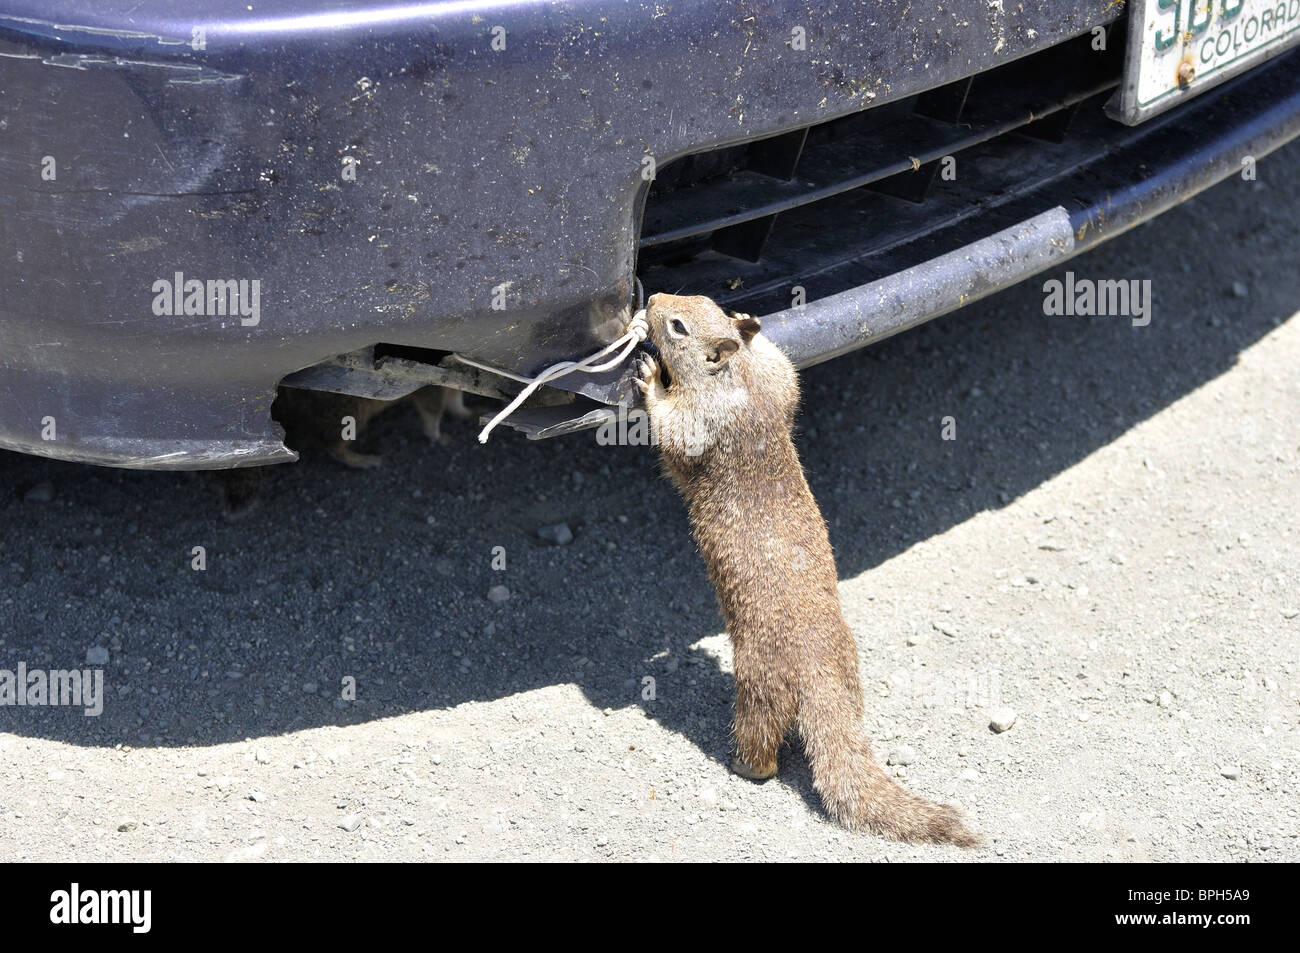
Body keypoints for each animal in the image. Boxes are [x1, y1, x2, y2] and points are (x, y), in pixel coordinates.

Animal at [635, 292, 977, 846]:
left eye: (678, 325)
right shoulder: (775, 384)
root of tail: (822, 681)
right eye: (700, 299)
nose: (652, 298)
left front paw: (649, 379)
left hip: (756, 683)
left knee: (762, 746)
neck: (741, 381)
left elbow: (672, 428)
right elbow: (789, 376)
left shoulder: (703, 419)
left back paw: (743, 765)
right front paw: (749, 321)